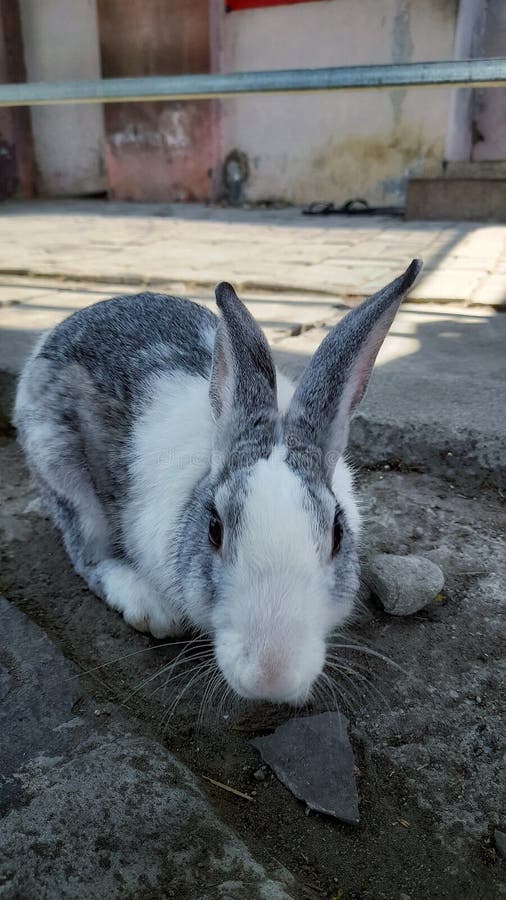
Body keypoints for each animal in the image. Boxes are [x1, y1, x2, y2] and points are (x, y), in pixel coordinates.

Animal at [14, 259, 422, 704]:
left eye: (337, 534)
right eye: (214, 530)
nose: (272, 677)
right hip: (60, 466)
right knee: (87, 553)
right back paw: (146, 604)